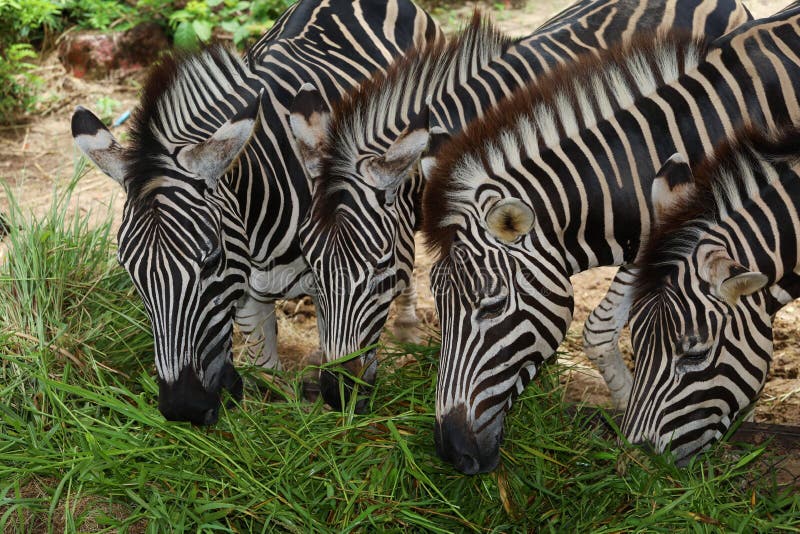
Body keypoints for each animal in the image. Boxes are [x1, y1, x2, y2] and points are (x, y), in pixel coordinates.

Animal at [70, 0, 441, 425]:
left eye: (211, 260)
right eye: (128, 269)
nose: (182, 408)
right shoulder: (249, 297)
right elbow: (268, 370)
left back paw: (408, 328)